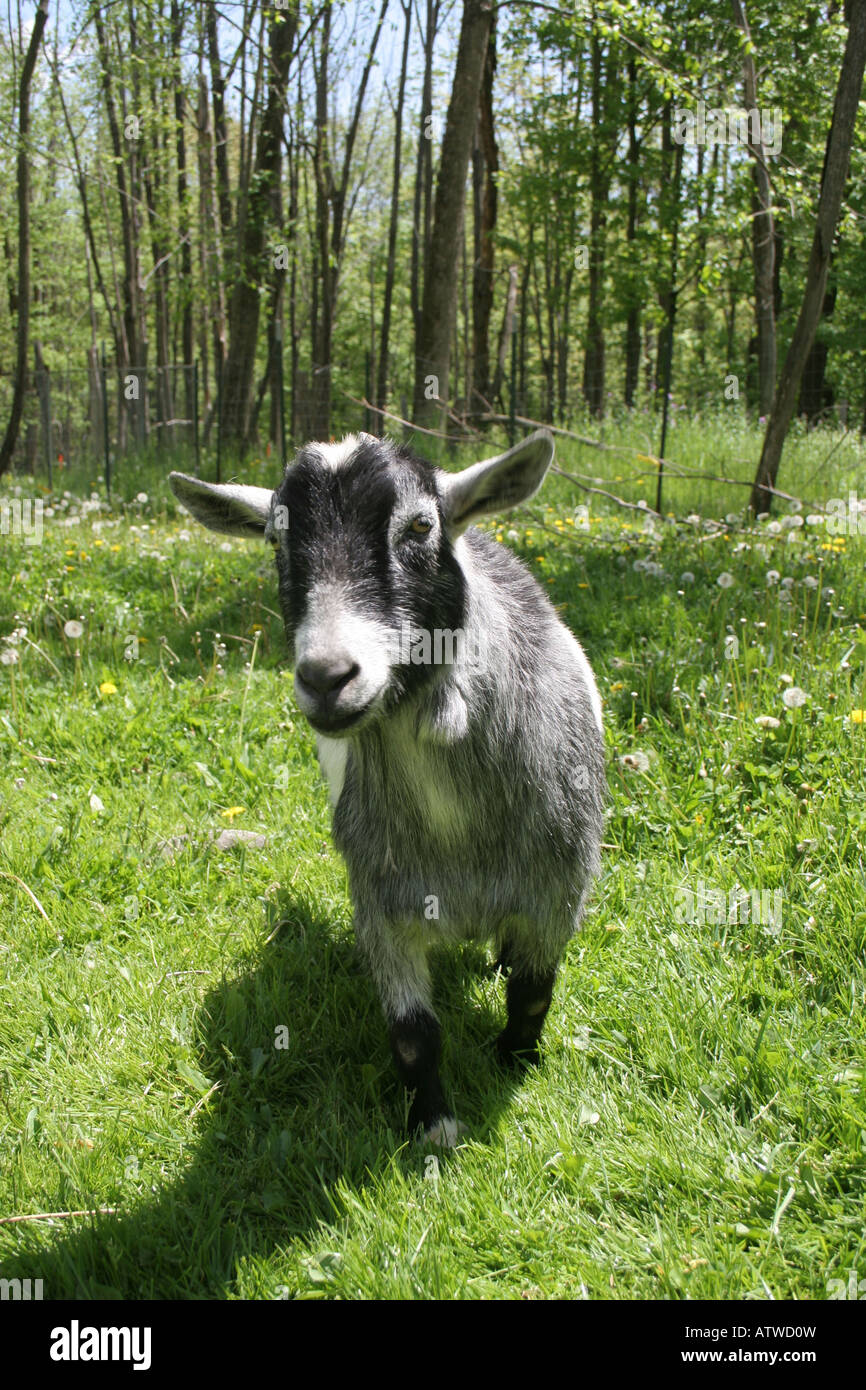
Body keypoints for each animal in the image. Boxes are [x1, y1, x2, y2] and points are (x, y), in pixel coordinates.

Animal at [169, 430, 605, 1145]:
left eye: (420, 526)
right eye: (275, 539)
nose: (327, 677)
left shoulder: (557, 889)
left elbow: (533, 991)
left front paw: (514, 1064)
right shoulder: (381, 897)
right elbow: (412, 1033)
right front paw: (434, 1127)